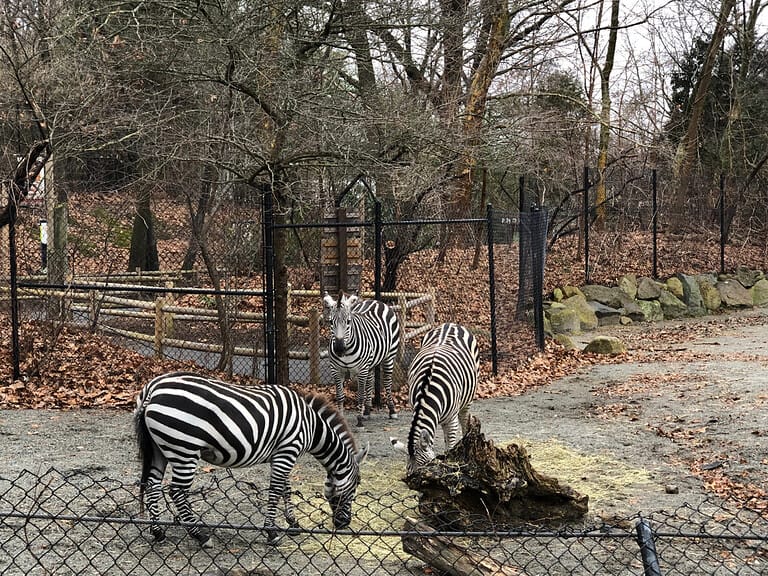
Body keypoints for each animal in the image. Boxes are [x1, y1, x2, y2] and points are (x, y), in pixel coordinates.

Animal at [134, 371, 369, 546]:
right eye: (356, 485)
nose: (344, 524)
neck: (311, 425)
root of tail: (153, 388)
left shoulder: (281, 454)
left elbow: (286, 488)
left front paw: (292, 523)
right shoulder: (288, 450)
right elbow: (276, 490)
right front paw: (272, 532)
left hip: (160, 448)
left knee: (152, 484)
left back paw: (157, 531)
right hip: (184, 449)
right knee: (176, 491)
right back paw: (199, 535)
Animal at [323, 292, 400, 428]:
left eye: (348, 322)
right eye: (330, 322)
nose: (339, 348)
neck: (347, 351)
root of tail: (375, 301)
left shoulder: (361, 369)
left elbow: (360, 396)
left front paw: (359, 421)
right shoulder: (336, 370)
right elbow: (339, 396)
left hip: (389, 356)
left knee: (387, 382)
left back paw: (392, 411)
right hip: (370, 362)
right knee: (370, 381)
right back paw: (367, 411)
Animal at [391, 323, 479, 474]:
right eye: (409, 473)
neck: (427, 392)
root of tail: (450, 324)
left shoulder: (451, 420)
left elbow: (450, 445)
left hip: (469, 396)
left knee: (464, 419)